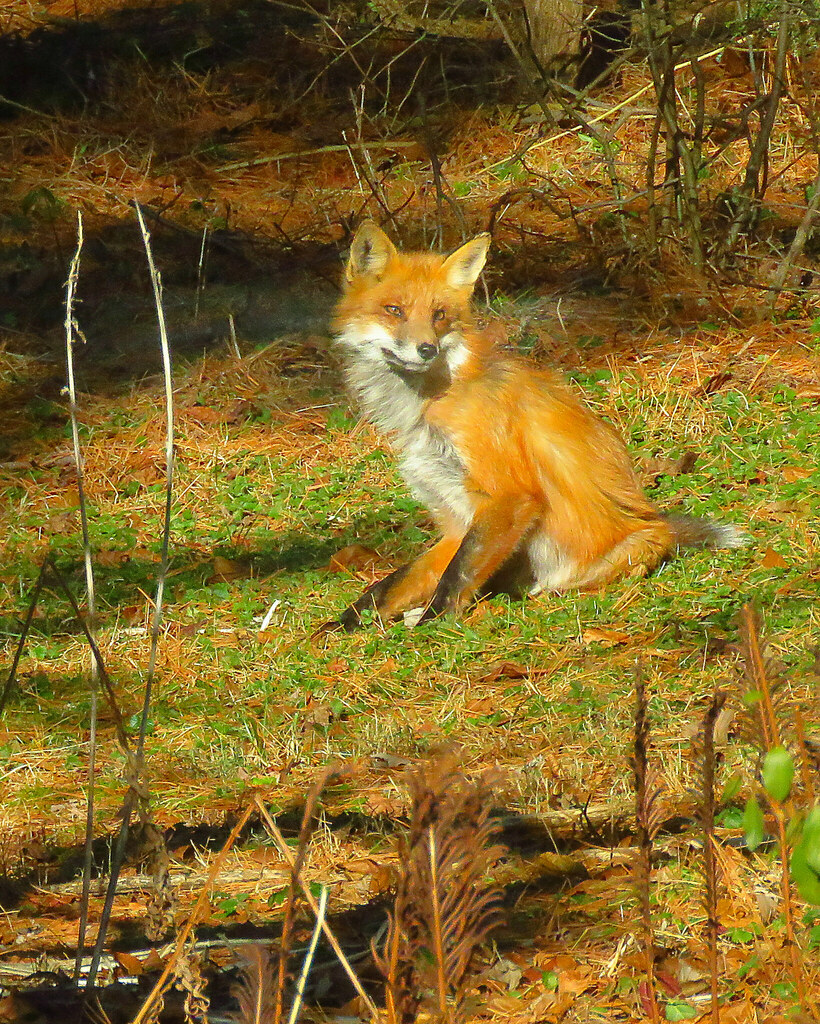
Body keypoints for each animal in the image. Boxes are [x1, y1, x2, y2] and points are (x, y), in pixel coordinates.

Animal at [325, 221, 745, 630]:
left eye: (439, 315)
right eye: (394, 310)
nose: (426, 349)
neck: (431, 402)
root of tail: (661, 525)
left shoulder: (509, 495)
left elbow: (455, 577)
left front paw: (434, 623)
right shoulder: (454, 513)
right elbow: (398, 581)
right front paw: (346, 624)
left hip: (628, 547)